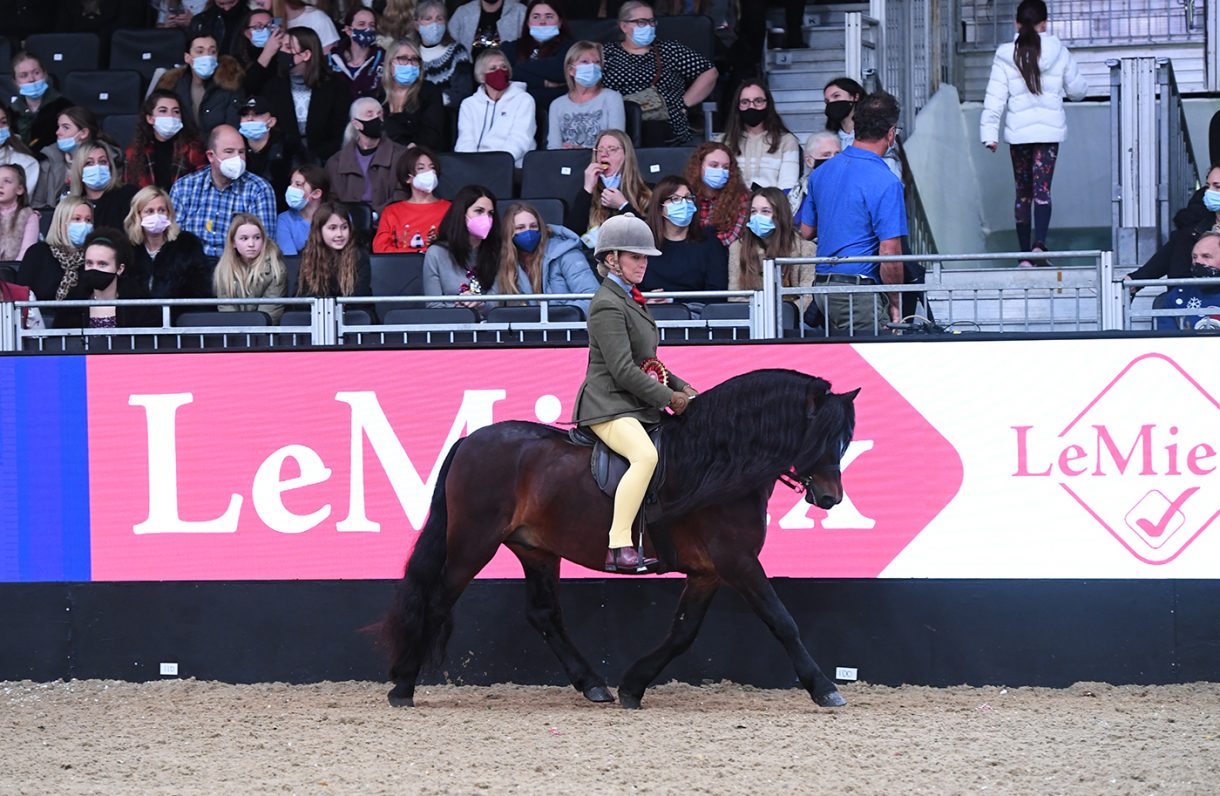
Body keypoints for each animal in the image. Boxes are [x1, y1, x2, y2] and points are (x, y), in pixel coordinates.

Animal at [382, 368, 859, 709]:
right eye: (820, 437)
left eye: (844, 440)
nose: (830, 498)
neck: (719, 462)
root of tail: (469, 442)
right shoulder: (737, 562)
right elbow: (782, 621)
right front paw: (824, 688)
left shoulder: (708, 572)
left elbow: (684, 632)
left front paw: (633, 685)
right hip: (473, 542)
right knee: (438, 600)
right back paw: (403, 686)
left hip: (535, 549)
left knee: (543, 614)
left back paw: (594, 685)